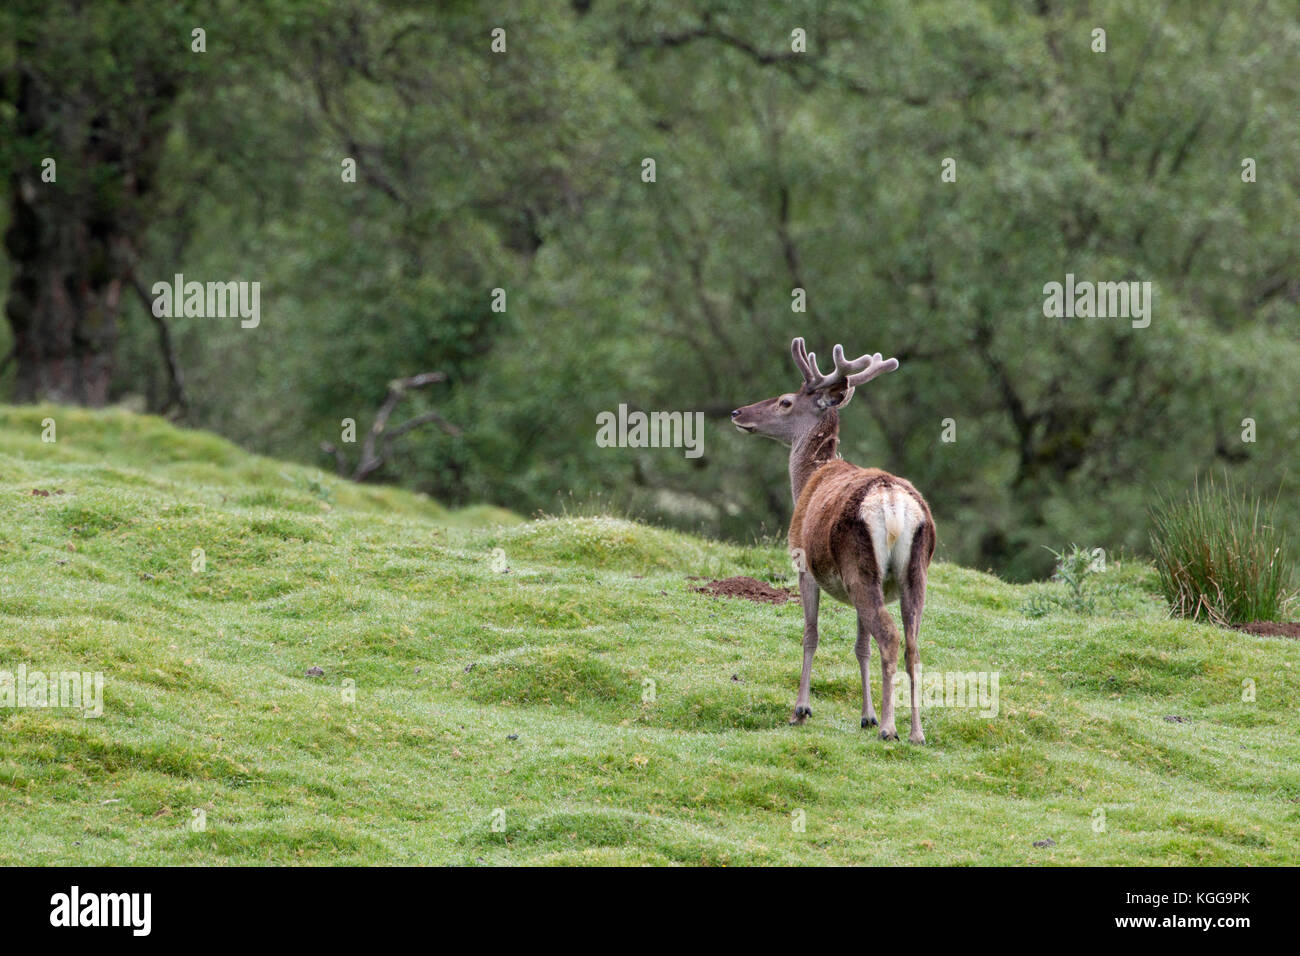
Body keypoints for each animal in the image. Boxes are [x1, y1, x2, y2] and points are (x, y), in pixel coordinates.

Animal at [731, 337, 935, 743]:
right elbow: (860, 647)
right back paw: (916, 732)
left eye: (784, 401)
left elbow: (811, 635)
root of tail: (894, 502)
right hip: (912, 572)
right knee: (913, 646)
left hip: (860, 565)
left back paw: (889, 729)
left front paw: (800, 709)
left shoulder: (803, 564)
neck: (808, 480)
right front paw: (866, 715)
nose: (738, 412)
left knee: (890, 637)